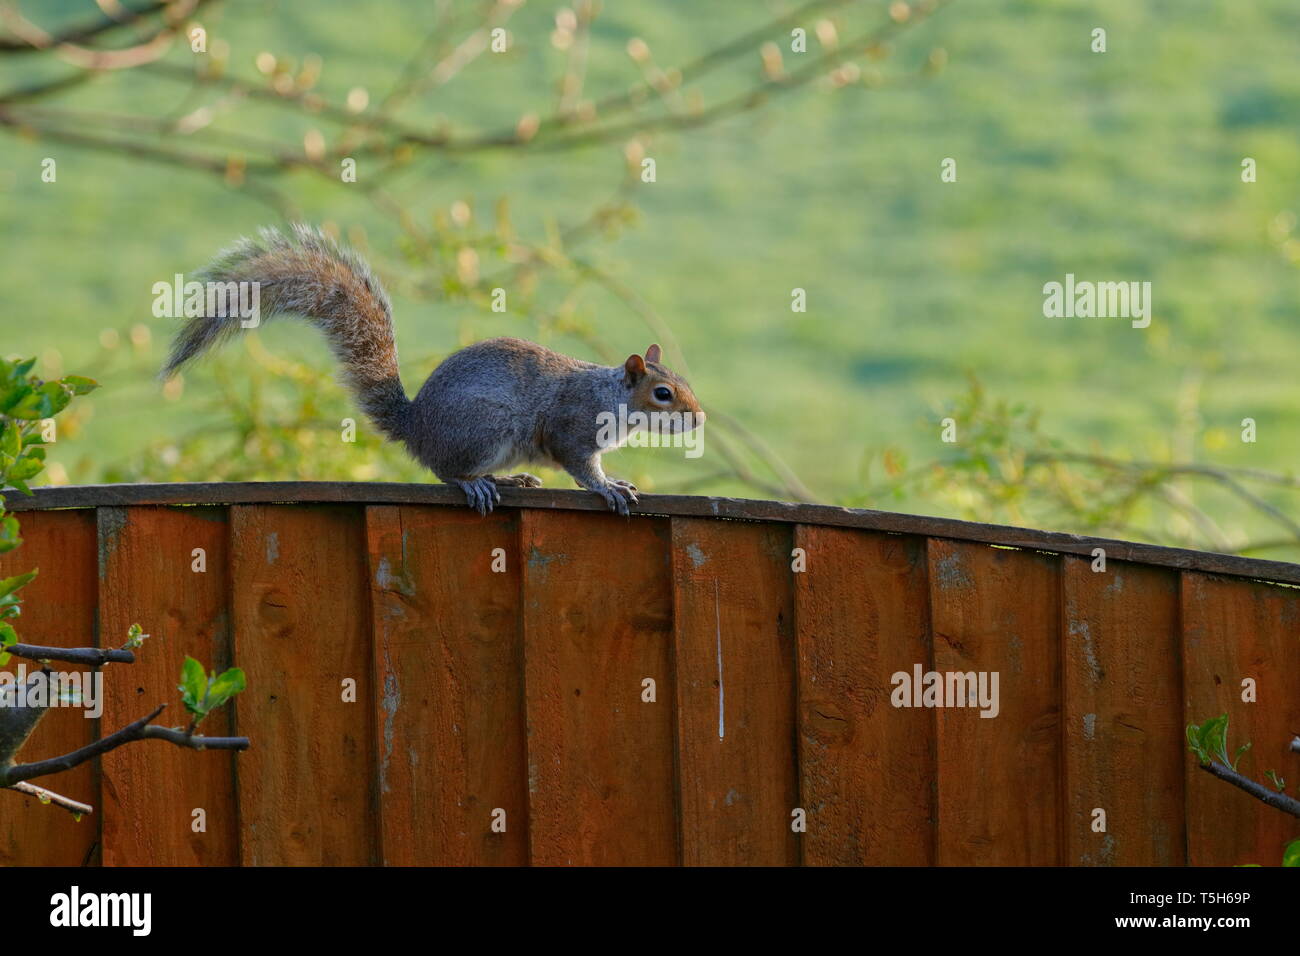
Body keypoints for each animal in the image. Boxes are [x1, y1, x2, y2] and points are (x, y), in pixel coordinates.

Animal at [160, 224, 705, 515]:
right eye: (662, 393)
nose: (698, 419)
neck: (611, 397)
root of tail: (417, 427)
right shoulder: (571, 428)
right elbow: (582, 467)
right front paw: (608, 488)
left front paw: (619, 480)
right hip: (487, 426)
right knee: (446, 471)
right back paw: (475, 483)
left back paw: (510, 480)